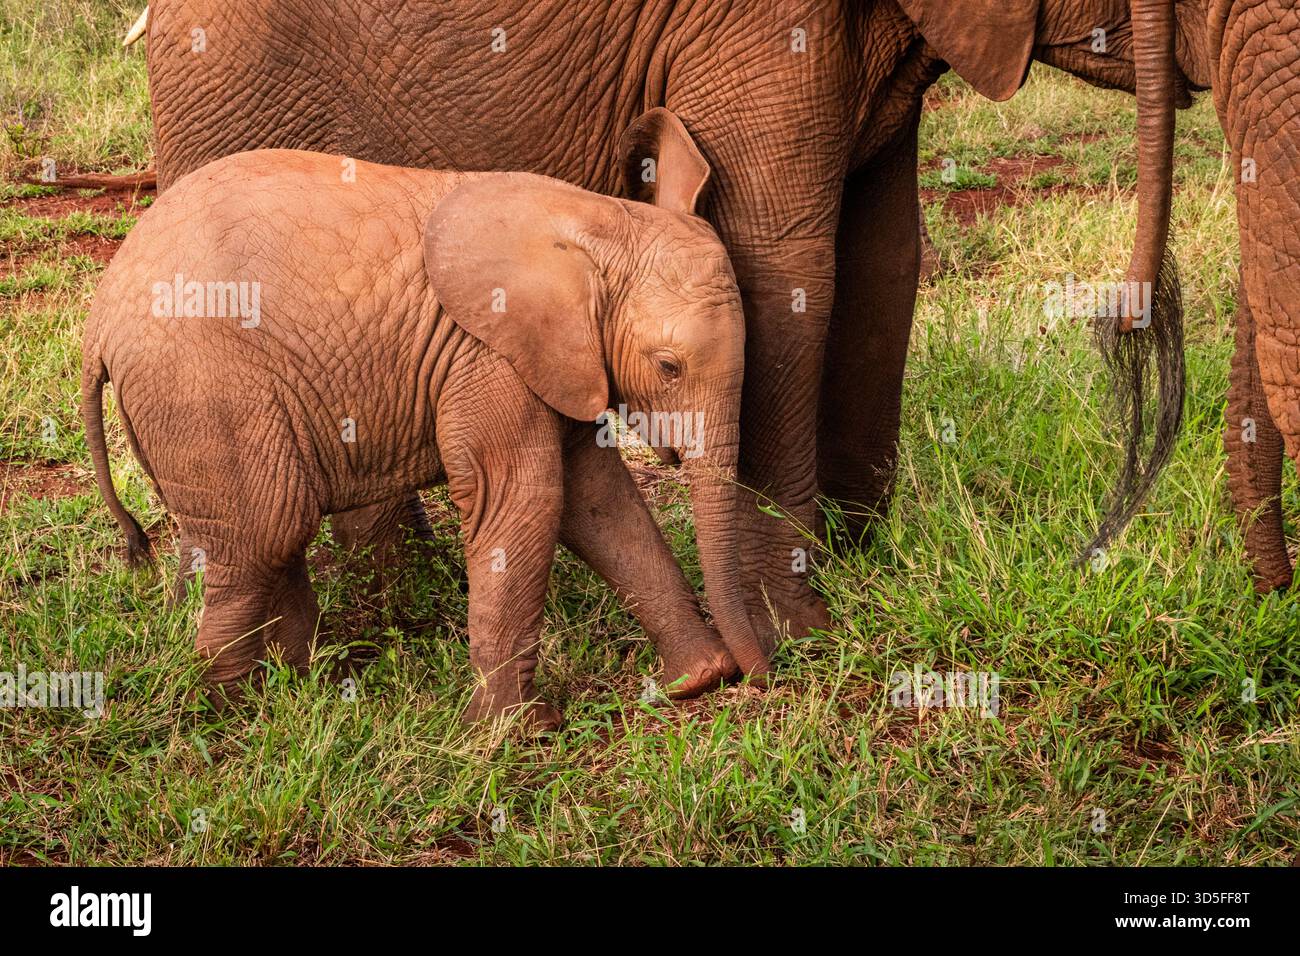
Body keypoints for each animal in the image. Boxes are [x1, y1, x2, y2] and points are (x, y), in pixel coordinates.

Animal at [82, 147, 762, 725]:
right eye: (668, 367)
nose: (757, 675)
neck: (596, 221)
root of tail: (99, 323)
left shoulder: (555, 357)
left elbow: (598, 501)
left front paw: (693, 682)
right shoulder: (485, 352)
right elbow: (522, 498)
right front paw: (513, 735)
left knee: (265, 536)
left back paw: (300, 686)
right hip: (203, 385)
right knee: (263, 532)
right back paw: (234, 711)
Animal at [136, 0, 1210, 664]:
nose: (1098, 539)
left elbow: (884, 254)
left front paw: (863, 572)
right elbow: (786, 263)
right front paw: (801, 627)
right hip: (226, 87)